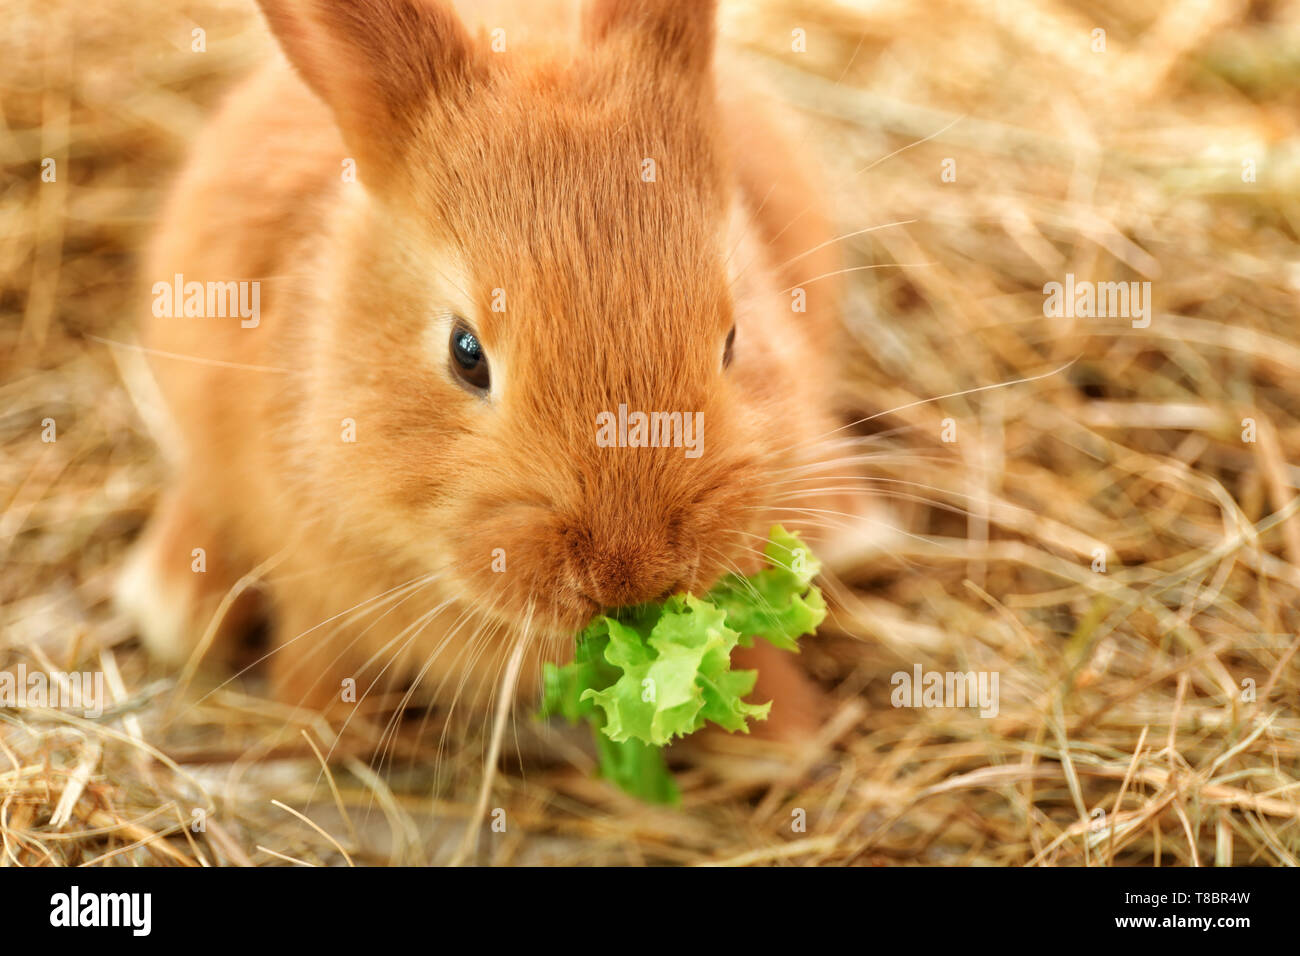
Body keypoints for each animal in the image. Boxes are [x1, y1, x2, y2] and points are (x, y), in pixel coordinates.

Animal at [116, 0, 861, 742]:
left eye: (733, 338)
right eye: (465, 352)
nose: (631, 572)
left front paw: (788, 731)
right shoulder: (311, 575)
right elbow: (314, 659)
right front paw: (332, 725)